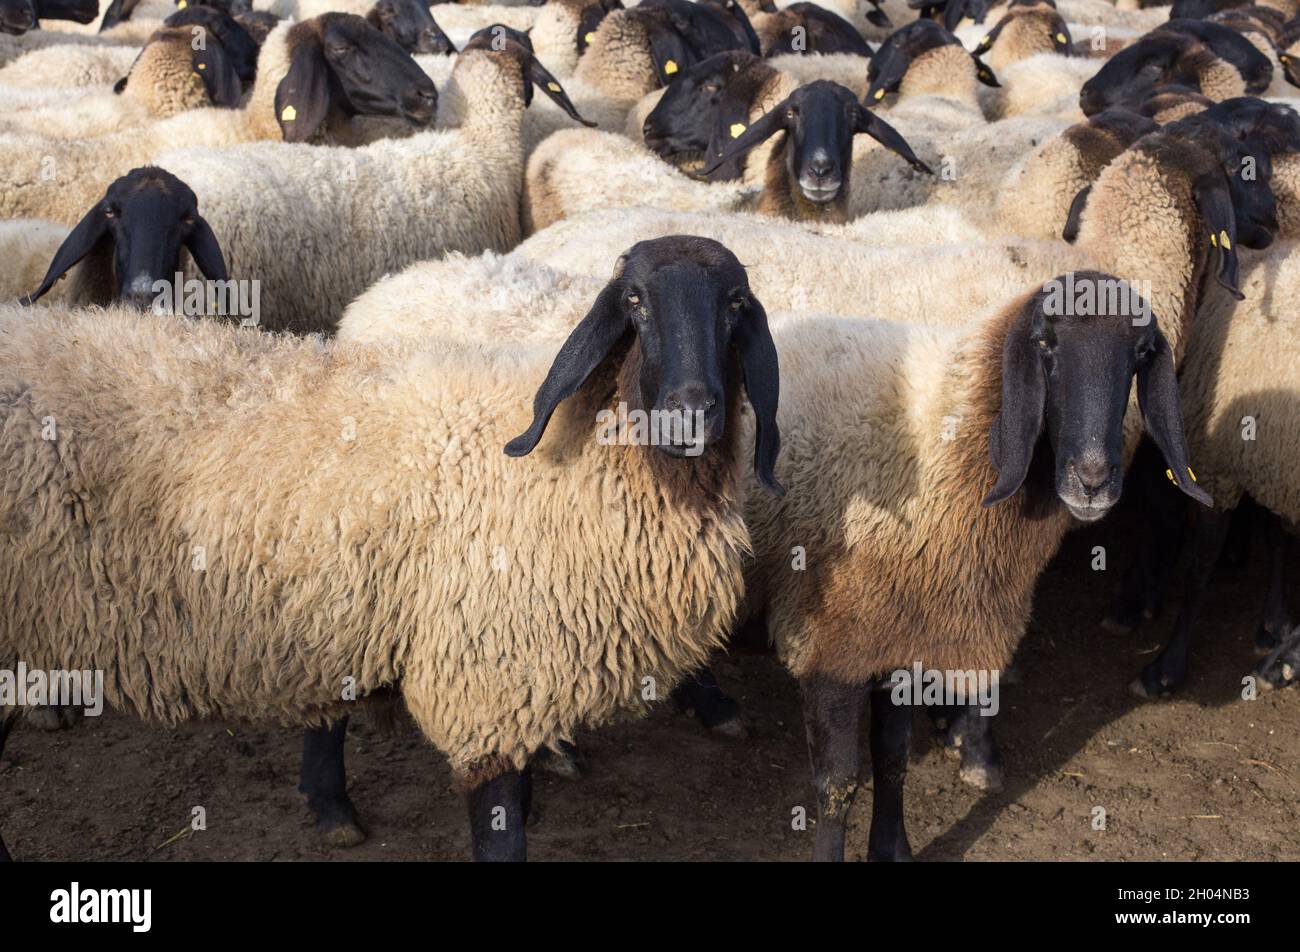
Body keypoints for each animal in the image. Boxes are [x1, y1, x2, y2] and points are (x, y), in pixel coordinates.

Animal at [0, 234, 784, 862]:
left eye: (737, 303)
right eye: (635, 302)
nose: (690, 411)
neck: (587, 460)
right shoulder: (486, 676)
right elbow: (502, 832)